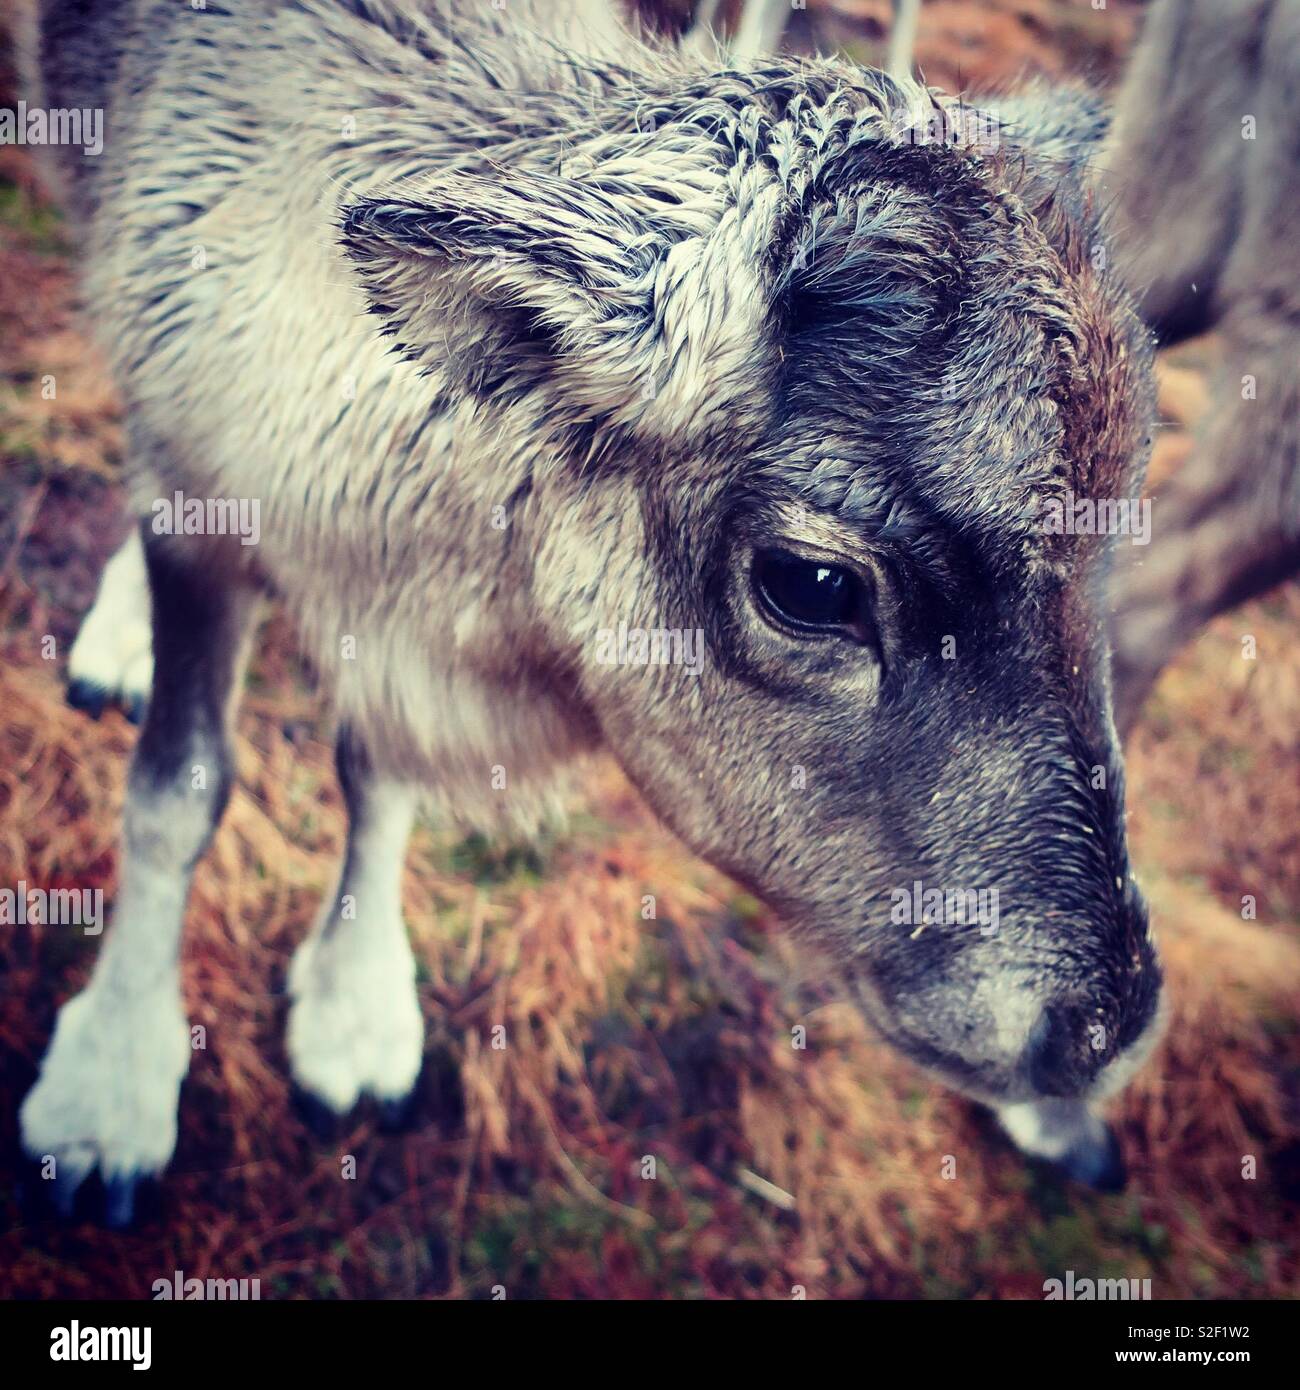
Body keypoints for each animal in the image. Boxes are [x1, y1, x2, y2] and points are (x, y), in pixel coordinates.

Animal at [14, 0, 1161, 1227]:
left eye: (1105, 534)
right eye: (812, 585)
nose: (1098, 1032)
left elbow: (377, 772)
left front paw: (355, 1013)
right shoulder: (200, 510)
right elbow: (176, 790)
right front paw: (108, 1092)